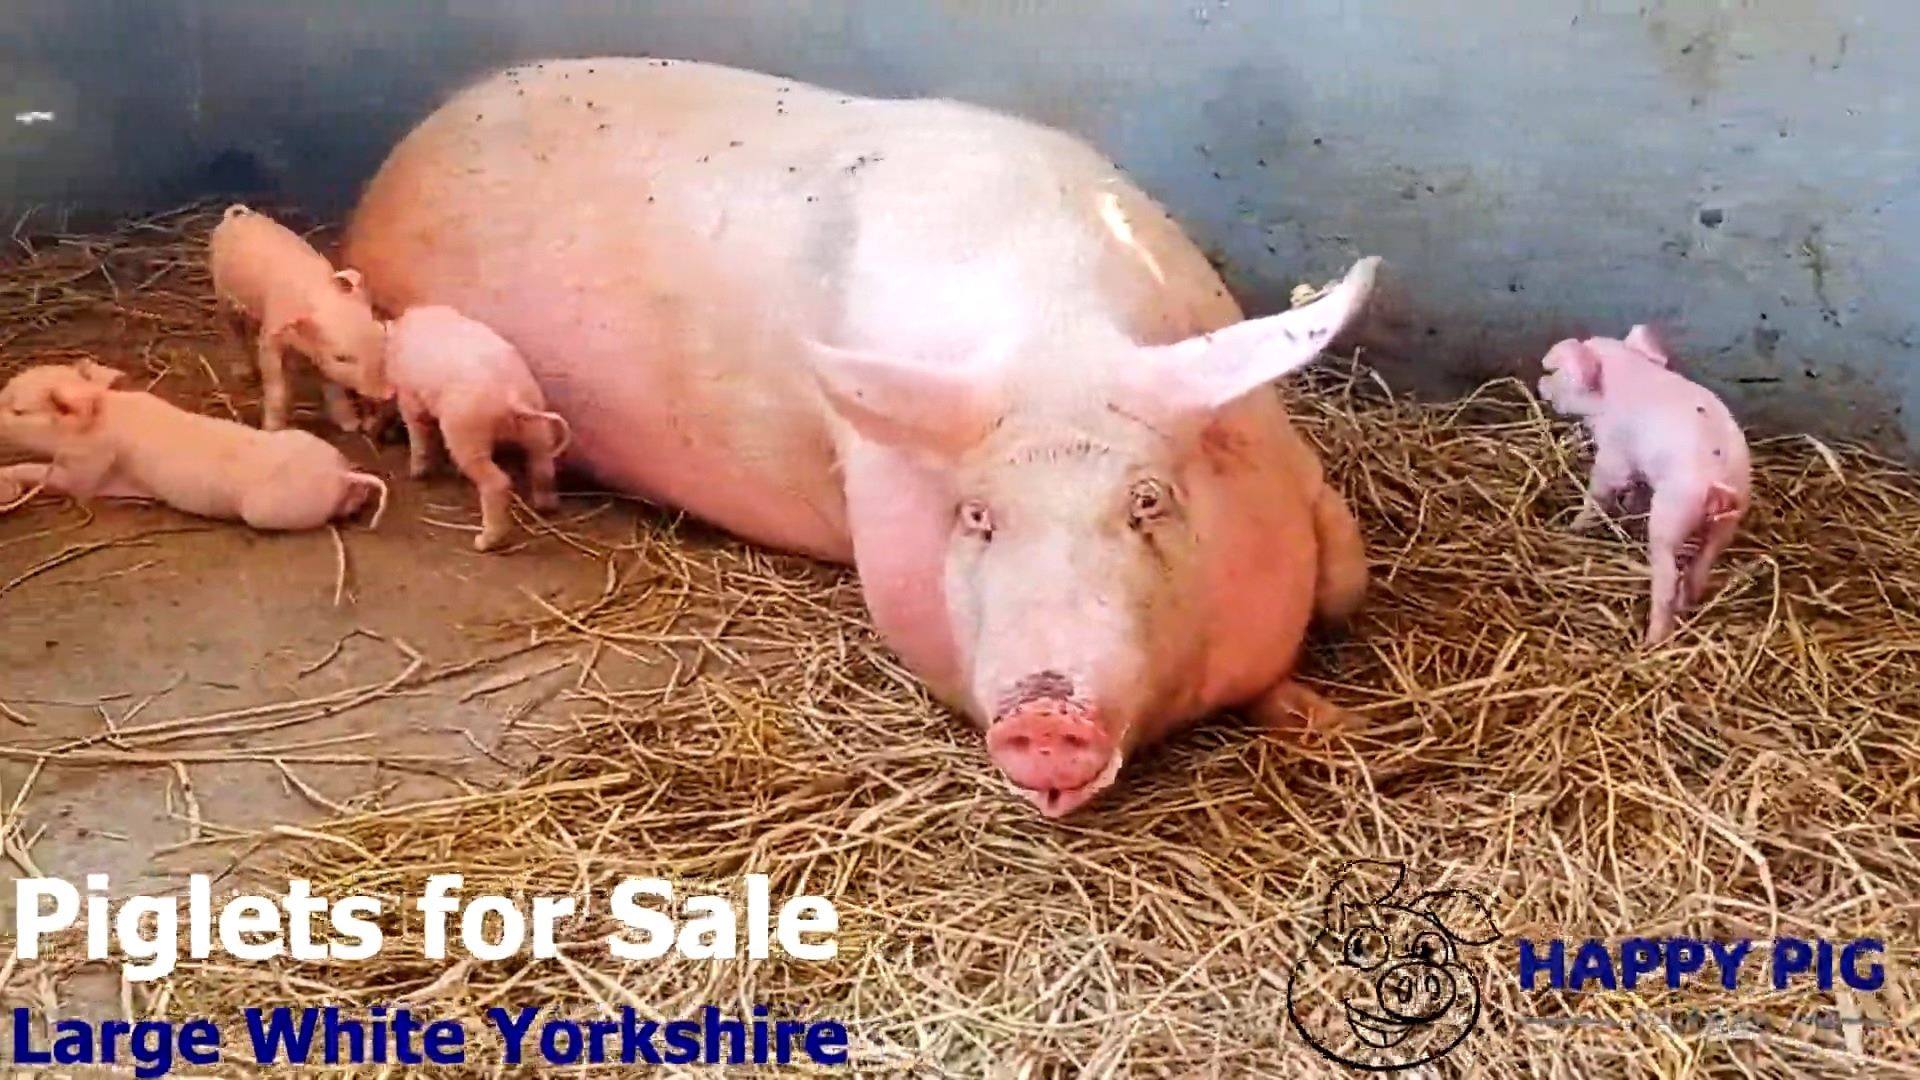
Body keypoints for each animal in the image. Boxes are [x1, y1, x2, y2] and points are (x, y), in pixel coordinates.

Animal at [0, 361, 388, 531]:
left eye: (18, 411)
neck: (102, 416)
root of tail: (337, 474)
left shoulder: (87, 471)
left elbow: (52, 477)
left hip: (269, 512)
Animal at [208, 204, 390, 432]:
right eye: (341, 357)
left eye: (381, 333)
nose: (387, 393)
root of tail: (237, 215)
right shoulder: (270, 335)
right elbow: (276, 386)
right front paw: (272, 429)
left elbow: (333, 386)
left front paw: (351, 425)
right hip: (222, 291)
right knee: (231, 326)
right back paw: (243, 371)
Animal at [384, 305, 574, 551]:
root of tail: (511, 395)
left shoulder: (409, 396)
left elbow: (417, 432)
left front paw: (415, 473)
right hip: (535, 422)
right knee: (542, 464)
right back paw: (546, 507)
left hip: (466, 433)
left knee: (496, 482)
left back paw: (483, 542)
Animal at [1537, 325, 1751, 645]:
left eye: (1556, 371)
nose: (1539, 383)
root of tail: (1719, 484)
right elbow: (1636, 488)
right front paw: (1630, 509)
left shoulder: (1614, 452)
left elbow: (1601, 489)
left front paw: (1573, 526)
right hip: (1729, 519)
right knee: (1704, 561)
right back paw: (1687, 604)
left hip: (1672, 515)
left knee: (1667, 577)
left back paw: (1652, 640)